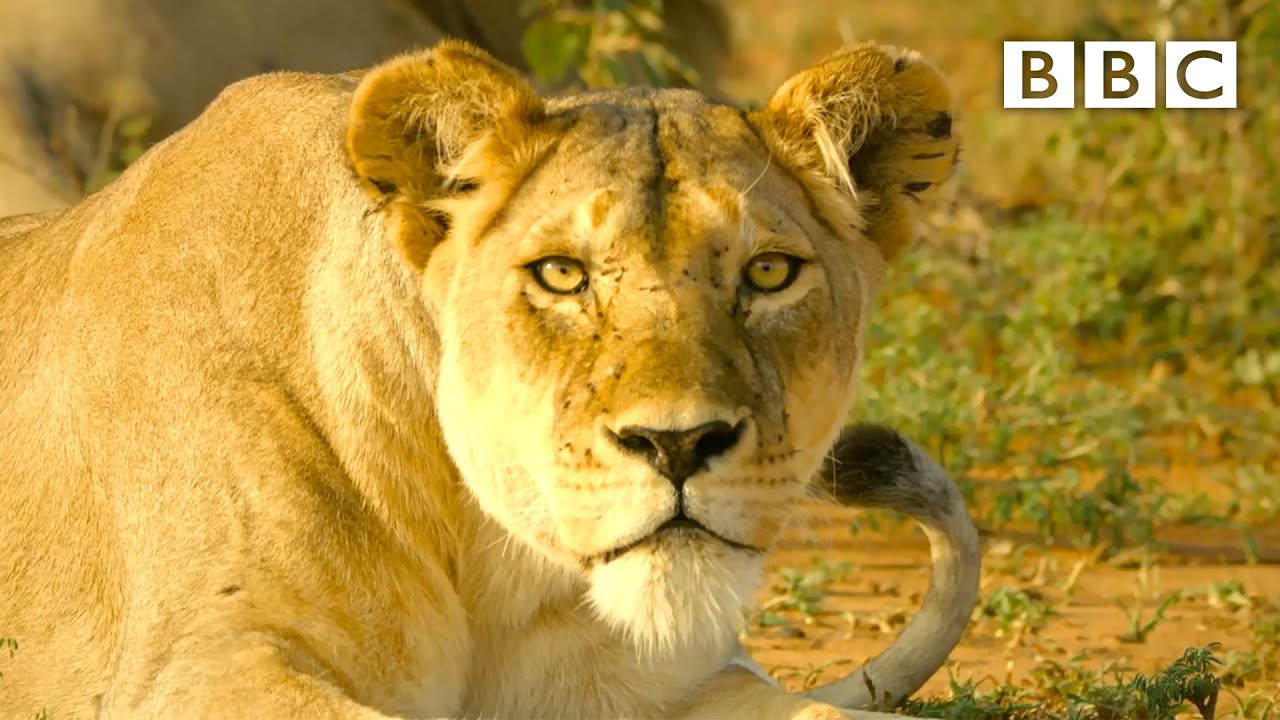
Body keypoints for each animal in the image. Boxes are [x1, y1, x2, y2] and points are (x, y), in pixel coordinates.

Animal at [0, 39, 975, 719]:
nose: (678, 444)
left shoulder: (654, 677)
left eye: (769, 274)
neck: (483, 554)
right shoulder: (199, 663)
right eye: (562, 275)